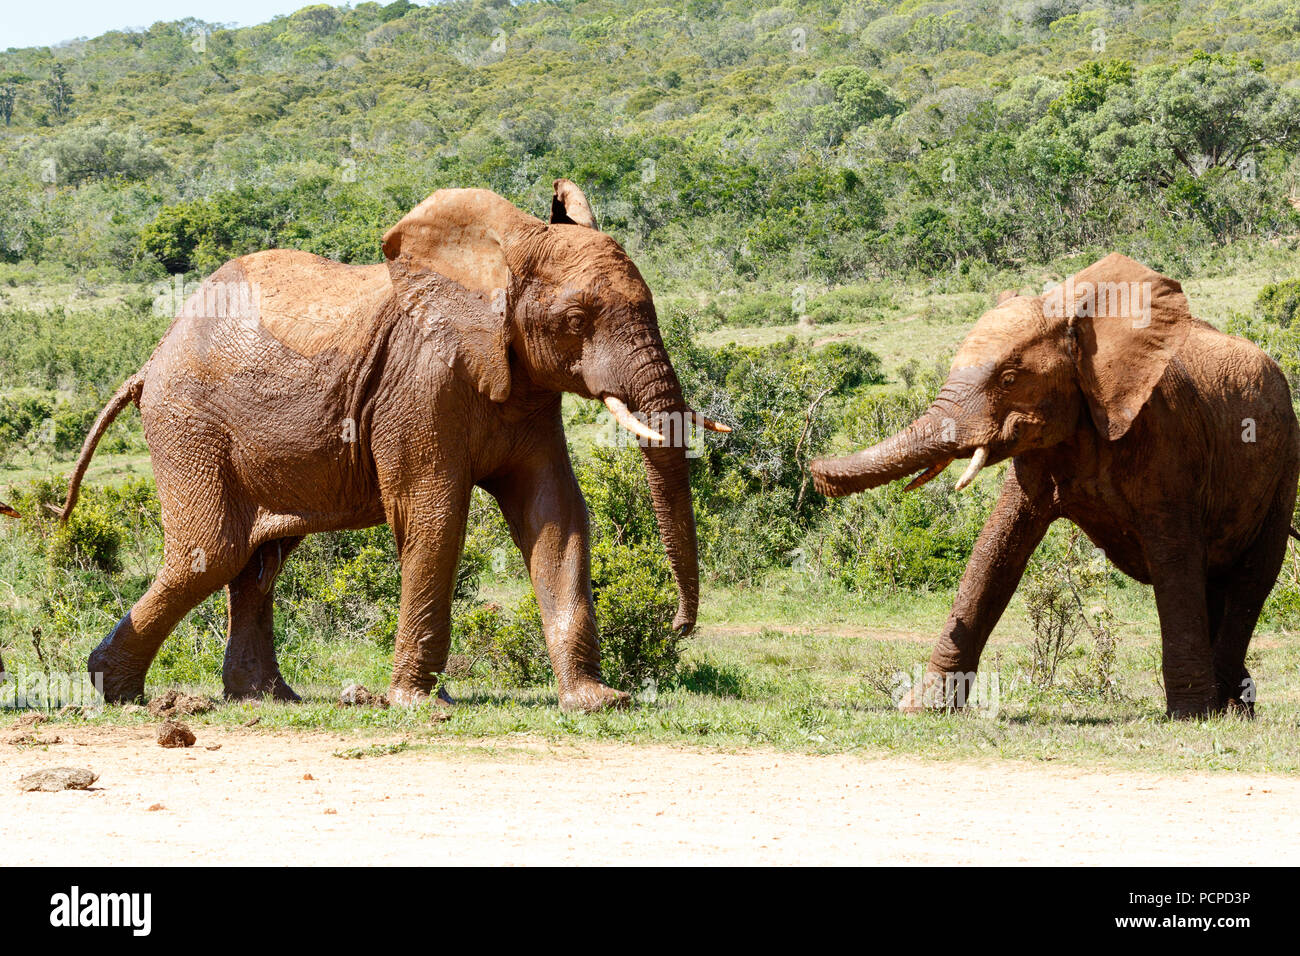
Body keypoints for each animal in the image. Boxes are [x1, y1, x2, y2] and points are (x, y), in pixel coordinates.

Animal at [62, 180, 726, 712]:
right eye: (577, 319)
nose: (678, 626)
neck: (503, 252)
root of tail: (150, 361)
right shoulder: (420, 381)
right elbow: (433, 515)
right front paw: (419, 705)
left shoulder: (526, 388)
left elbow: (555, 514)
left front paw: (598, 702)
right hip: (189, 424)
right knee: (212, 554)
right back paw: (115, 692)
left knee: (258, 562)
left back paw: (266, 699)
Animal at [811, 253, 1300, 719]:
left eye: (1009, 379)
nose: (812, 469)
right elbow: (995, 552)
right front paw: (923, 707)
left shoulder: (1167, 436)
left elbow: (1175, 561)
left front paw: (1191, 716)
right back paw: (1237, 706)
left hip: (1285, 465)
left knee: (1253, 577)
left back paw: (1228, 709)